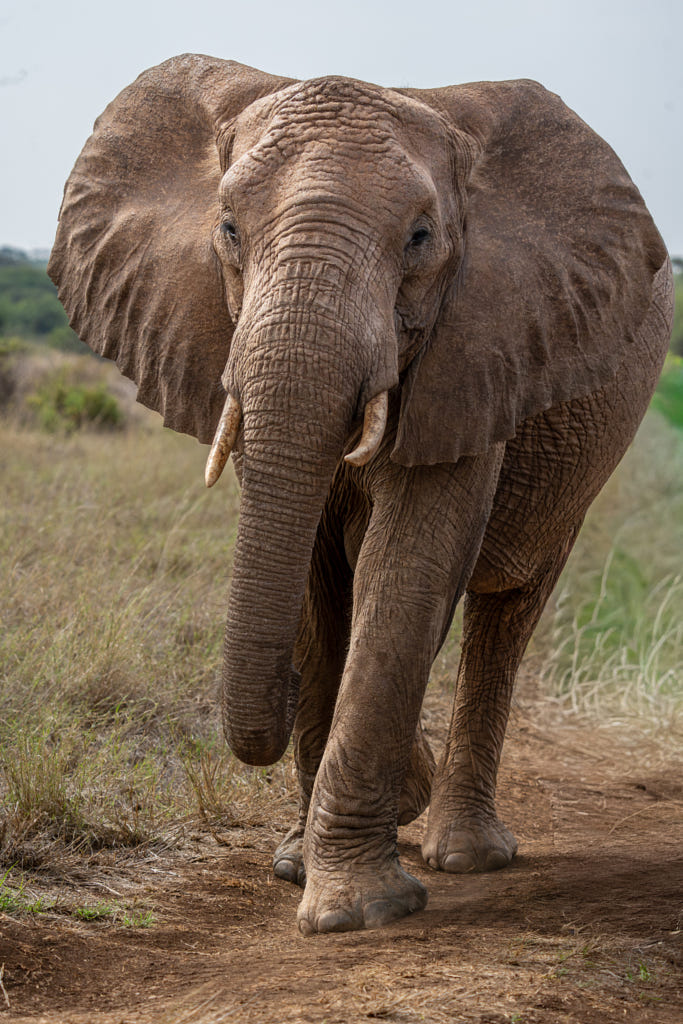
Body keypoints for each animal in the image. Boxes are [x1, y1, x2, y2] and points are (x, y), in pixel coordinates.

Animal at [48, 55, 673, 935]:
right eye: (228, 229)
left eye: (419, 238)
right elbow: (313, 584)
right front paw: (296, 867)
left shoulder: (477, 349)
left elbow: (407, 569)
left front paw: (353, 911)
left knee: (506, 608)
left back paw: (464, 852)